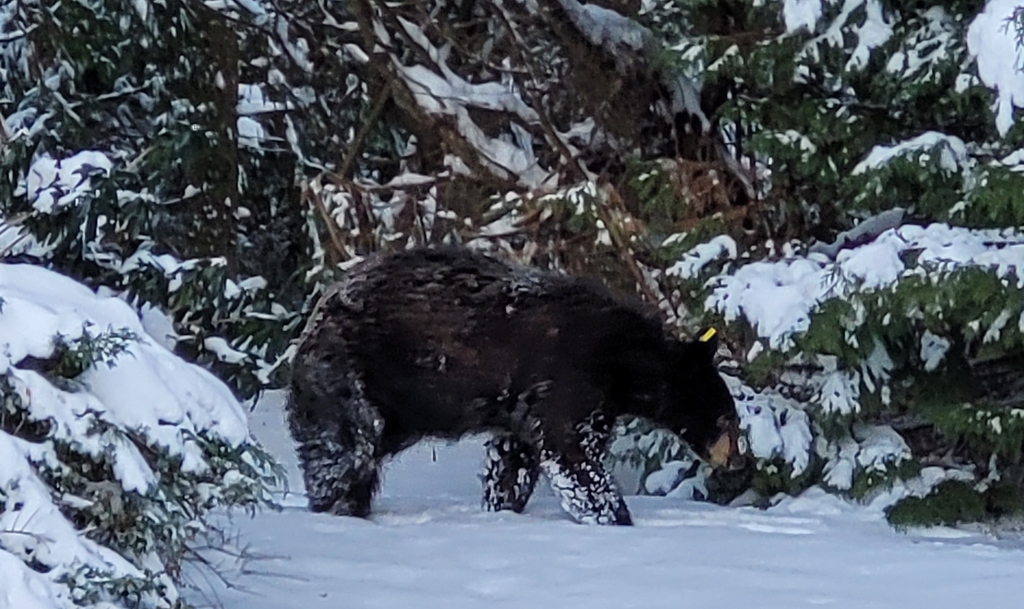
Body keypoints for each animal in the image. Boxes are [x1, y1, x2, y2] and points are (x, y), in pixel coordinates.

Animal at [287, 246, 741, 525]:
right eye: (726, 419)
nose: (736, 461)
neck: (624, 362)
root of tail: (315, 316)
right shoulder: (571, 376)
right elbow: (573, 453)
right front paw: (614, 515)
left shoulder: (524, 404)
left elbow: (513, 460)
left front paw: (501, 505)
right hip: (350, 375)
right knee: (346, 449)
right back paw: (338, 507)